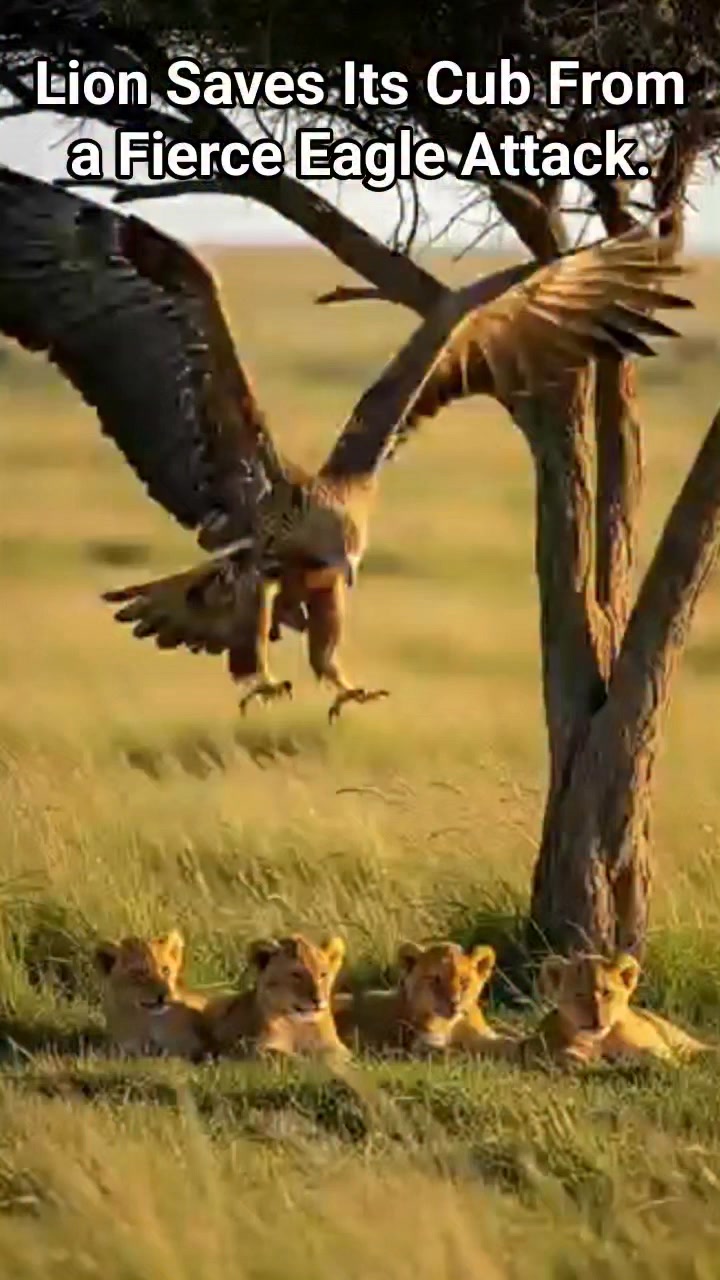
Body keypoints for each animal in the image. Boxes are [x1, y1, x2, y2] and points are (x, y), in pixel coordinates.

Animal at [205, 933, 349, 1061]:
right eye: (296, 975)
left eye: (323, 975)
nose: (317, 1000)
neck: (298, 1026)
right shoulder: (257, 1048)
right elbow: (280, 1054)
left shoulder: (335, 1047)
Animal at [334, 940, 507, 1055]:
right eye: (435, 979)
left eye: (464, 980)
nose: (454, 1003)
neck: (450, 1023)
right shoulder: (423, 1045)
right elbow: (457, 1051)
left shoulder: (486, 1035)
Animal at [518, 952, 711, 1069]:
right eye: (579, 994)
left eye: (606, 993)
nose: (596, 1019)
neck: (599, 1041)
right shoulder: (538, 1049)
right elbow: (564, 1055)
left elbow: (658, 1053)